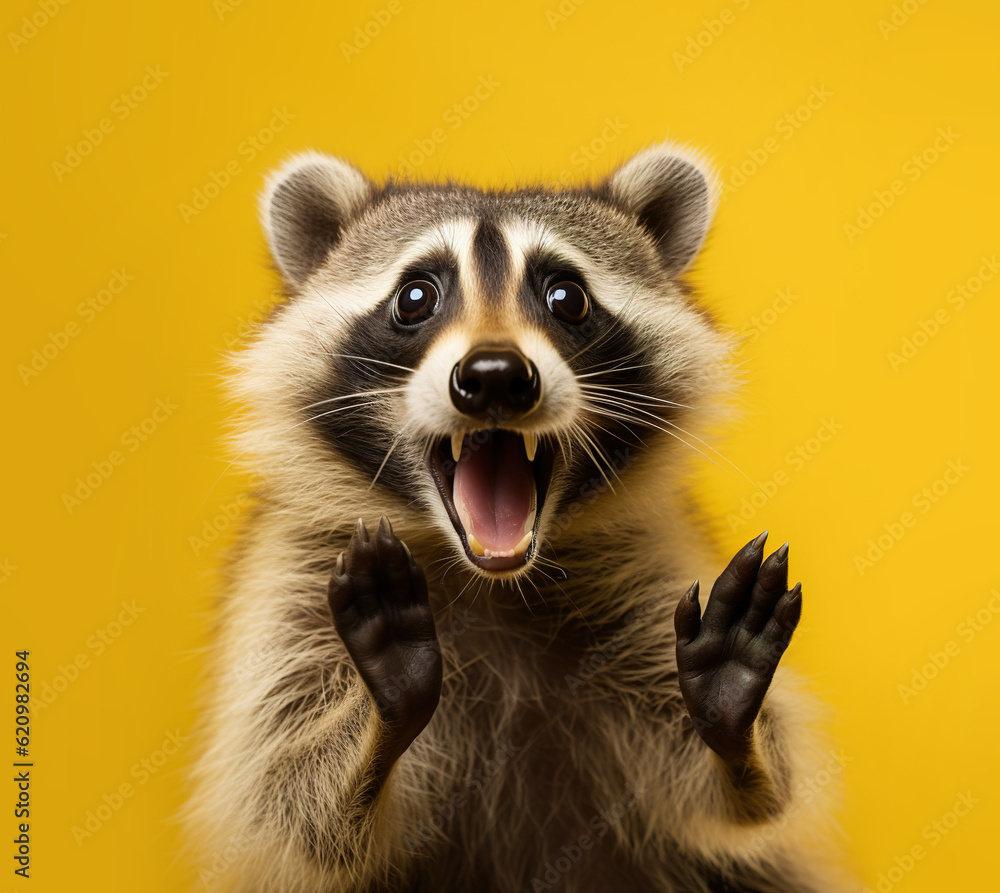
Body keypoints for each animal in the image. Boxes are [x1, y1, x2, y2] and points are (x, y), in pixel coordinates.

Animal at [183, 144, 853, 892]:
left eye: (567, 297)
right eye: (415, 297)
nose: (496, 374)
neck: (493, 578)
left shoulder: (647, 564)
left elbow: (741, 799)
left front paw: (730, 714)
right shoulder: (290, 581)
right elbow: (287, 801)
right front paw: (378, 705)